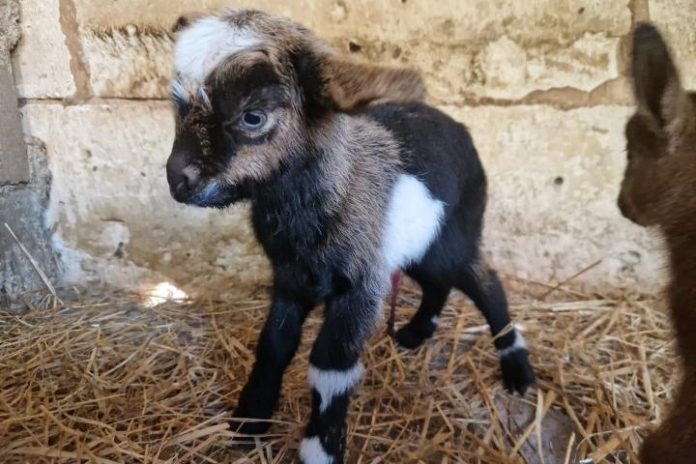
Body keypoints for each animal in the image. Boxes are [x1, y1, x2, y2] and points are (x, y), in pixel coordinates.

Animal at [165, 9, 535, 463]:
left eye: (253, 116)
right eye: (177, 103)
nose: (177, 179)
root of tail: (458, 126)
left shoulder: (360, 287)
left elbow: (330, 368)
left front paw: (320, 448)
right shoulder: (291, 281)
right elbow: (273, 347)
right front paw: (249, 419)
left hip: (455, 233)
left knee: (485, 283)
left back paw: (517, 369)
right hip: (415, 249)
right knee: (438, 284)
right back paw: (415, 333)